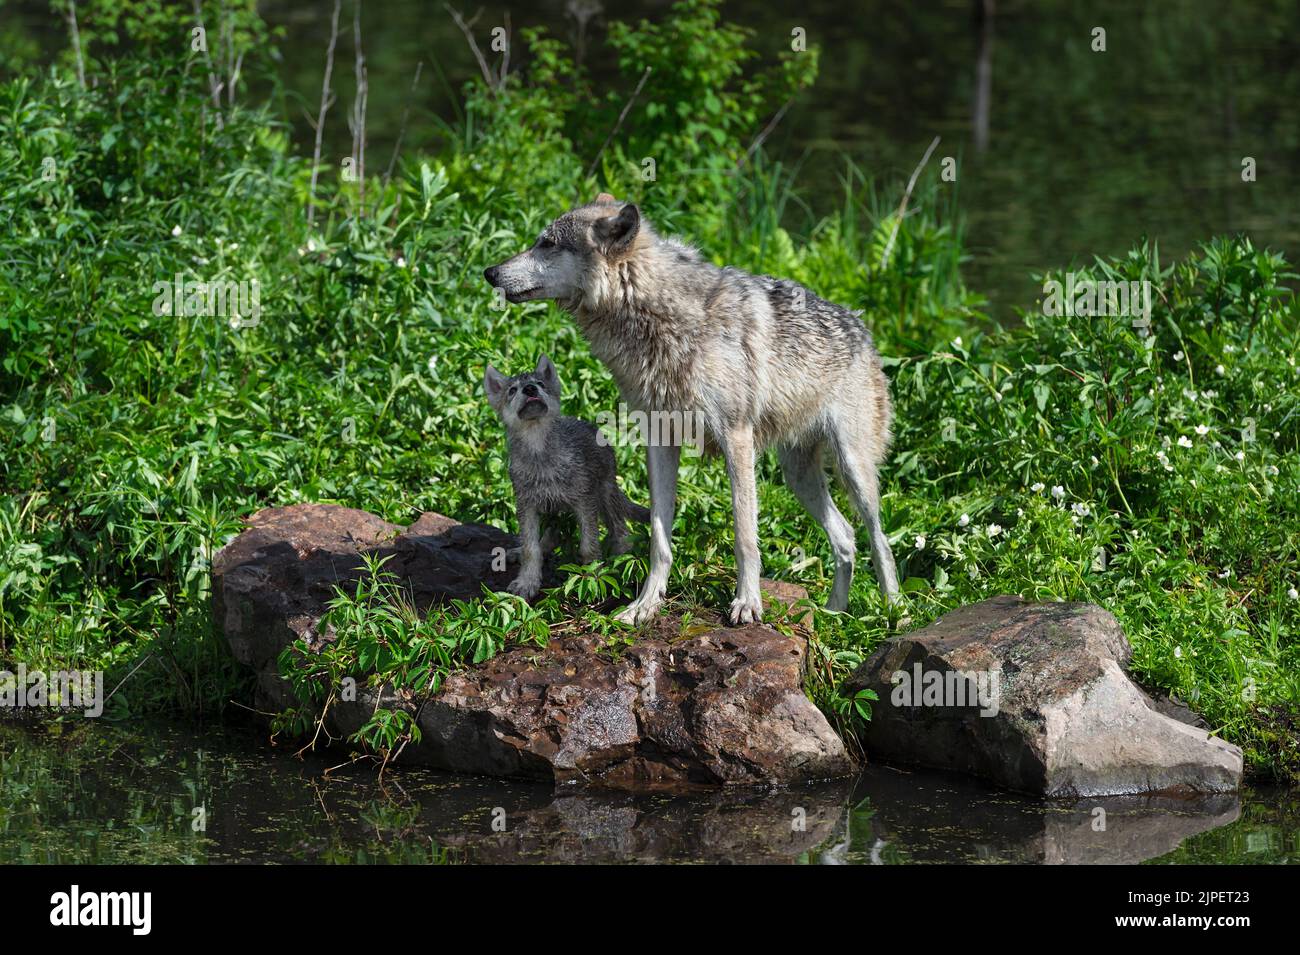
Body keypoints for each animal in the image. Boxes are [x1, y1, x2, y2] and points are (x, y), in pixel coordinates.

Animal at [484, 354, 650, 599]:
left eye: (540, 384)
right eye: (512, 390)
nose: (530, 389)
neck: (540, 454)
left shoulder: (585, 503)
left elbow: (589, 546)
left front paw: (592, 577)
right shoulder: (527, 506)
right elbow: (531, 548)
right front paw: (527, 582)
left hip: (606, 495)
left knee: (621, 530)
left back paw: (622, 560)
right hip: (552, 509)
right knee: (550, 537)